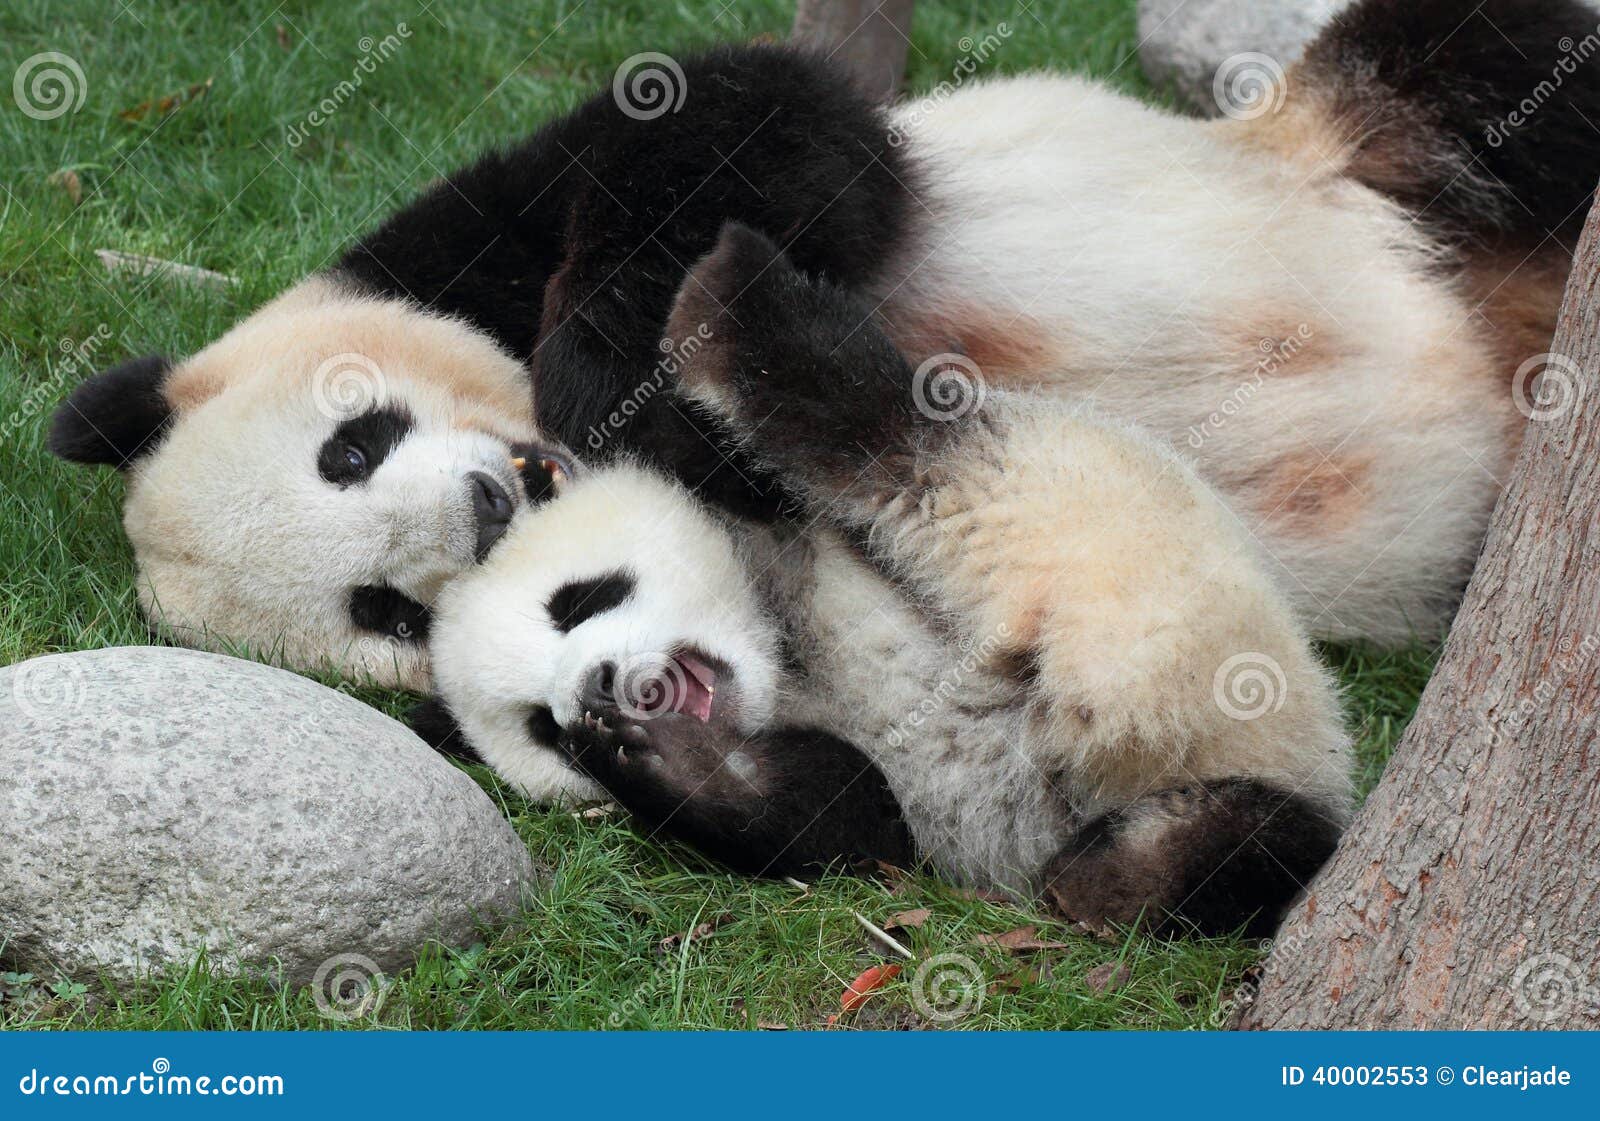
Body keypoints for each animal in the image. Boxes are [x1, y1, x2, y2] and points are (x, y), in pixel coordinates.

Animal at [47, 0, 1600, 690]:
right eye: (384, 611)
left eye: (350, 444)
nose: (486, 507)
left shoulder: (486, 227)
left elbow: (753, 124)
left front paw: (613, 365)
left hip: (1361, 137)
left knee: (1485, 58)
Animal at [423, 223, 1354, 937]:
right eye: (543, 727)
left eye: (580, 600)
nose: (597, 686)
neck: (783, 645)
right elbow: (850, 819)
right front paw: (672, 762)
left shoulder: (746, 499)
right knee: (1261, 841)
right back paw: (1129, 869)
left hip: (1148, 605)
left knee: (873, 428)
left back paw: (729, 284)